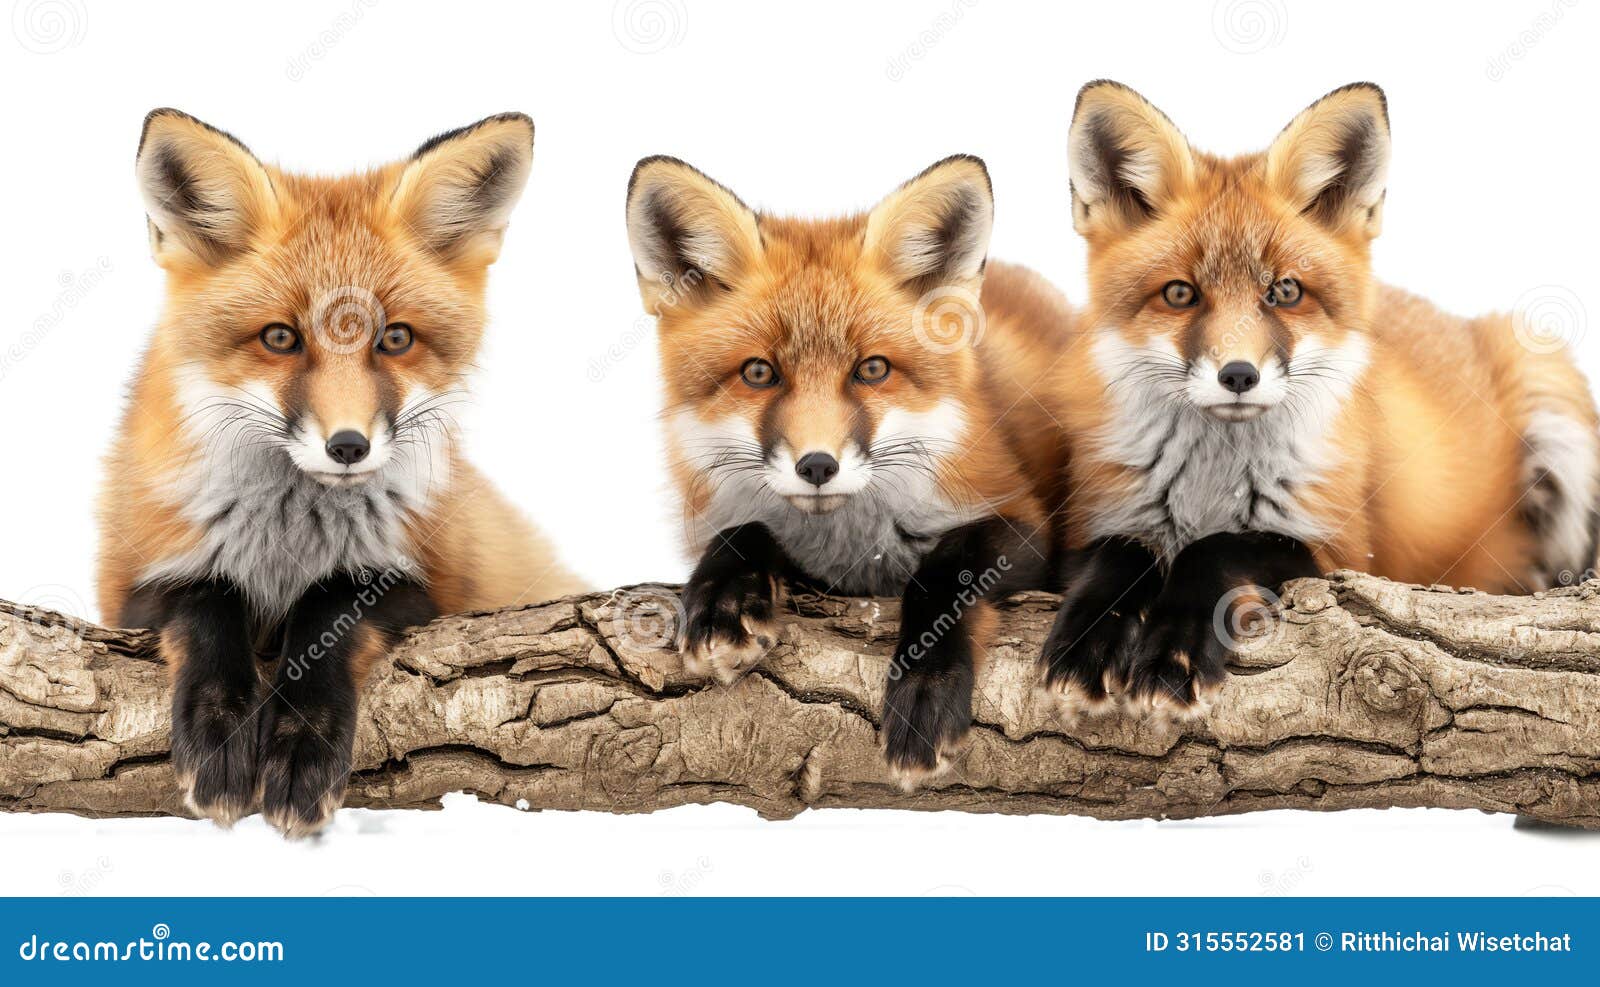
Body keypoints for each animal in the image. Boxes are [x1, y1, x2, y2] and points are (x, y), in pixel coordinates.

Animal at [97, 109, 584, 836]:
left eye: (395, 338)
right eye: (280, 338)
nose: (349, 445)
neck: (287, 540)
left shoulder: (434, 587)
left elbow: (331, 602)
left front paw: (303, 744)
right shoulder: (125, 589)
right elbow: (207, 596)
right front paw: (220, 729)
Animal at [625, 154, 1074, 781]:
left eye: (872, 369)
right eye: (759, 373)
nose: (818, 465)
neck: (855, 549)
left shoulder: (1022, 519)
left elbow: (945, 568)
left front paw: (926, 686)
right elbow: (744, 532)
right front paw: (722, 599)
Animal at [1039, 80, 1600, 715]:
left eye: (1285, 291)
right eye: (1180, 294)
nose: (1239, 375)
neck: (1210, 484)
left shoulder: (1343, 557)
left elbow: (1219, 550)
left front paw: (1173, 648)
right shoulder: (1085, 528)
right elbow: (1121, 553)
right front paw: (1089, 638)